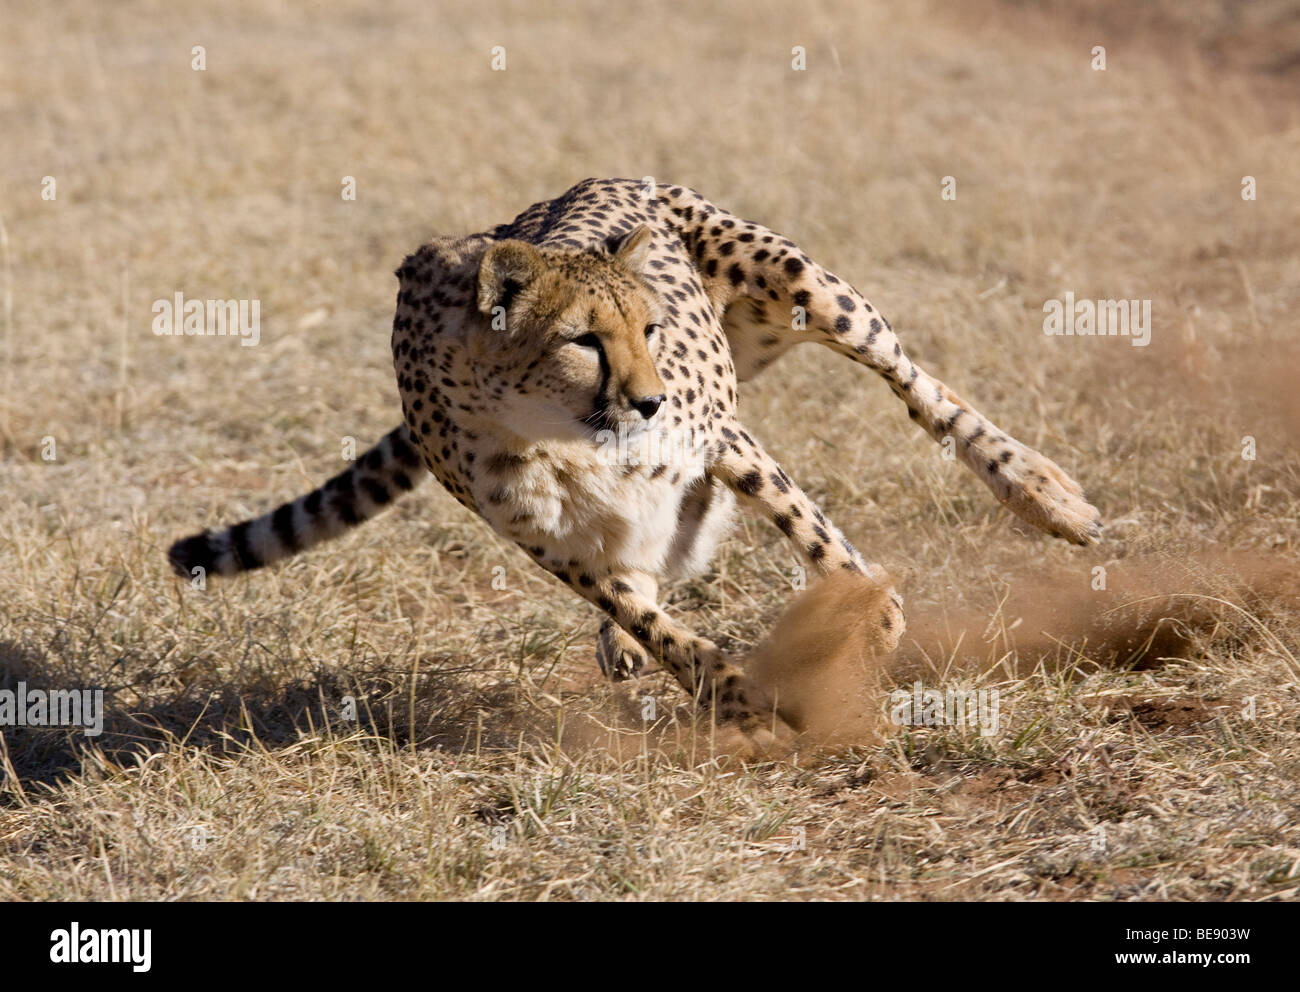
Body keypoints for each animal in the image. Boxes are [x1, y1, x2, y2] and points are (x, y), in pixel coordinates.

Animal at [168, 177, 1101, 752]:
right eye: (584, 339)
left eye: (649, 329)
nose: (649, 399)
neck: (559, 431)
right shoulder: (543, 538)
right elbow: (644, 613)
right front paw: (729, 693)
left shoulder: (722, 436)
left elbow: (816, 536)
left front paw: (871, 618)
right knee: (649, 554)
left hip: (807, 289)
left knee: (921, 390)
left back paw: (1043, 492)